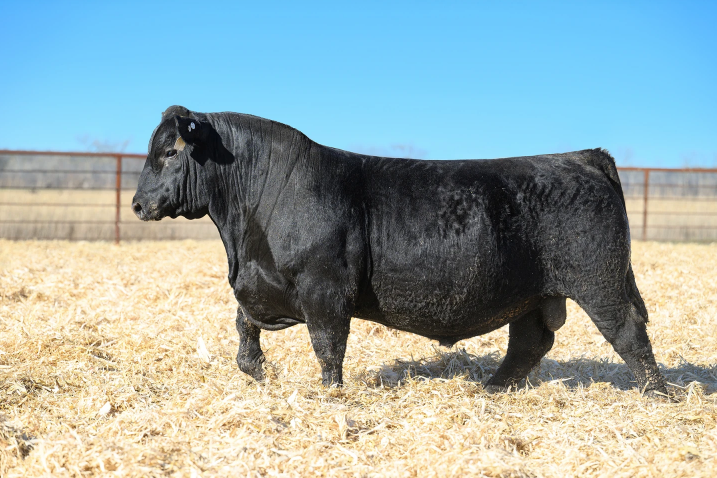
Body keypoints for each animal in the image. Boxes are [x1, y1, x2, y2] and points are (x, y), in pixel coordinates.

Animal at [132, 105, 668, 397]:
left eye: (171, 152)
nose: (138, 204)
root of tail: (585, 156)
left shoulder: (324, 288)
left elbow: (328, 344)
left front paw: (331, 395)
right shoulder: (264, 284)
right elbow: (245, 324)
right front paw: (258, 370)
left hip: (600, 282)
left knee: (630, 334)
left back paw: (657, 395)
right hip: (534, 294)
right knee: (529, 343)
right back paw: (491, 389)